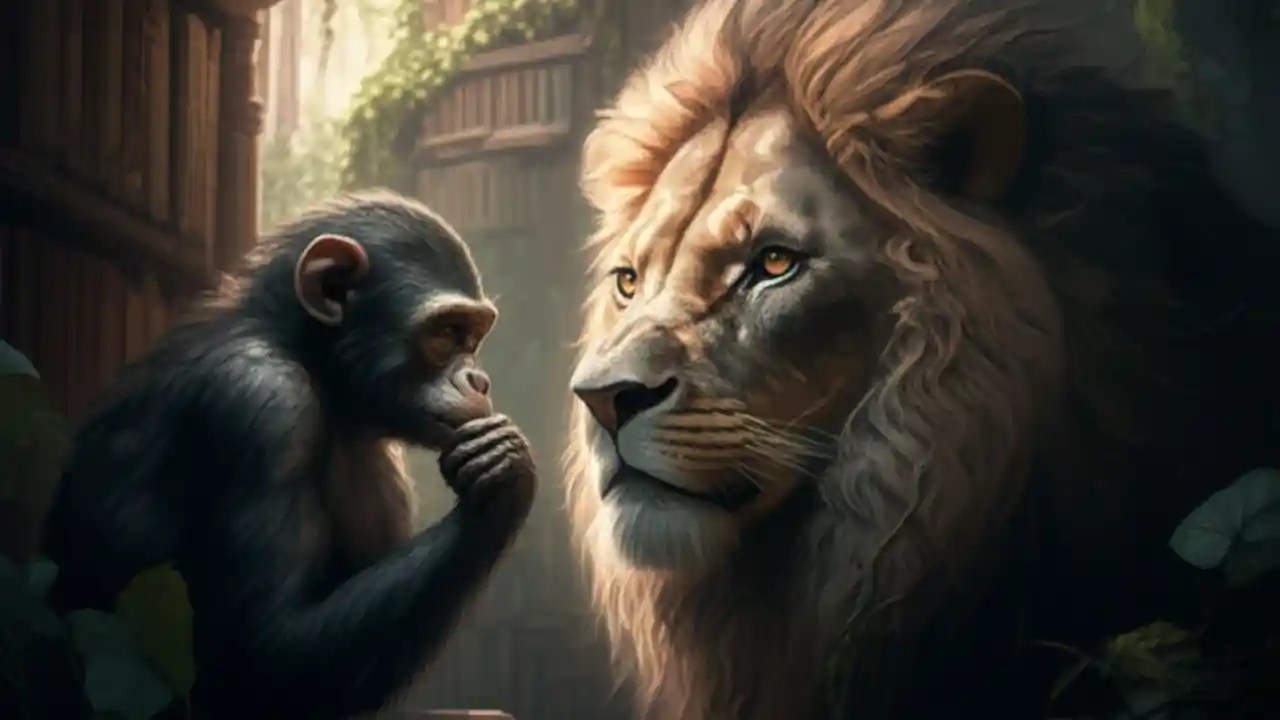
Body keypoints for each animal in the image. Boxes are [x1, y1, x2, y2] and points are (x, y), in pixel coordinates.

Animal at [40, 191, 537, 719]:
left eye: (474, 336)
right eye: (446, 332)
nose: (478, 379)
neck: (310, 358)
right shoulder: (262, 404)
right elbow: (272, 649)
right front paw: (506, 474)